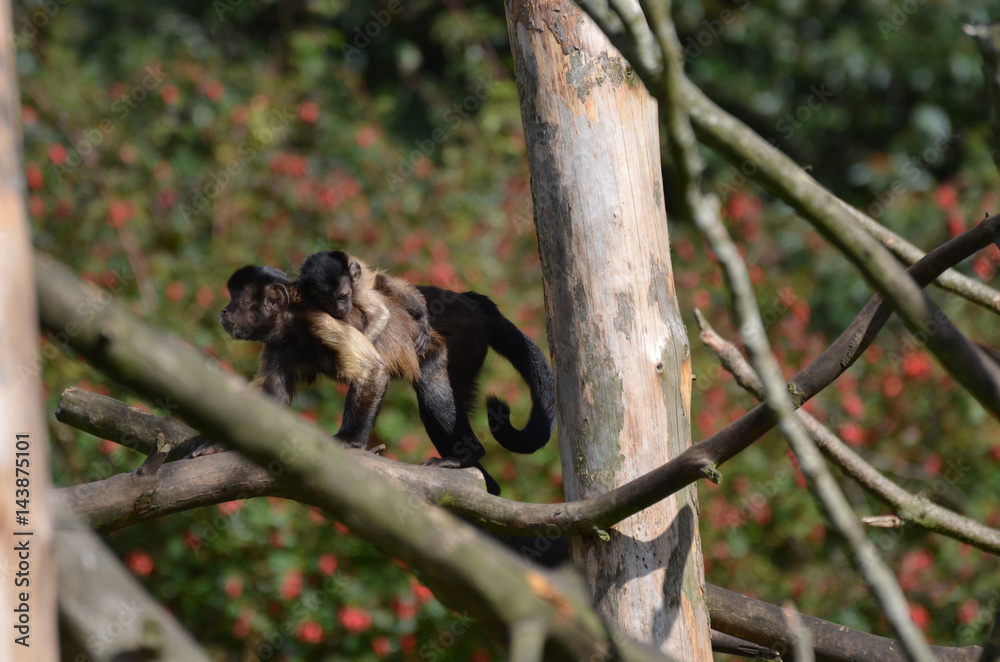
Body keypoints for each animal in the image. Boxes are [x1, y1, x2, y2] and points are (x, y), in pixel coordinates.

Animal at [217, 263, 557, 495]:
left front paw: (349, 440)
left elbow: (372, 370)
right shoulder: (278, 343)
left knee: (431, 383)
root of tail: (467, 299)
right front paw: (214, 442)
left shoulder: (318, 320)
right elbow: (272, 396)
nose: (223, 310)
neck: (290, 323)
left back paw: (467, 457)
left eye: (236, 300)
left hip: (462, 337)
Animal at [298, 250, 431, 357]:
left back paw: (422, 317)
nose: (340, 309)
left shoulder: (356, 291)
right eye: (327, 302)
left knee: (383, 281)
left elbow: (380, 314)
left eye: (343, 296)